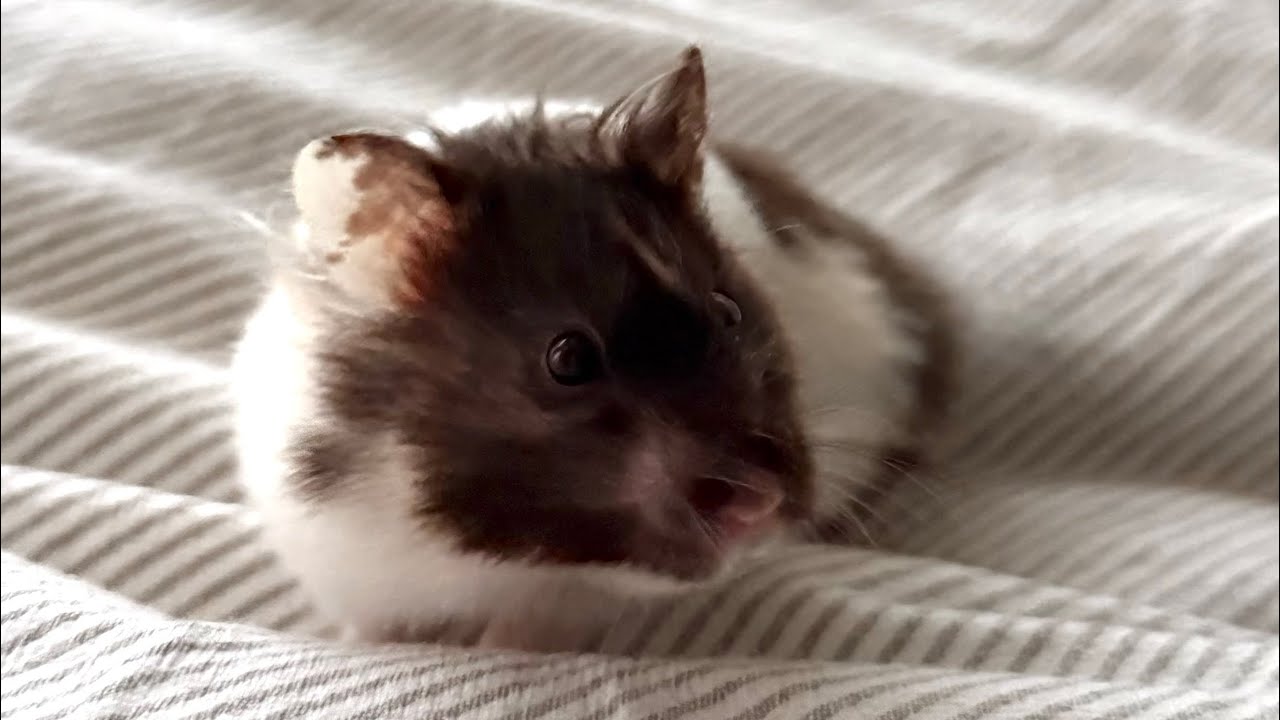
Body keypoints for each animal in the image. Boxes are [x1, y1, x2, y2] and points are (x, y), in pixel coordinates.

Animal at [231, 46, 955, 652]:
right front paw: (348, 649)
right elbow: (373, 633)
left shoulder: (573, 599)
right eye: (568, 359)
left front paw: (494, 649)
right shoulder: (340, 556)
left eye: (728, 310)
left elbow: (520, 635)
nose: (762, 506)